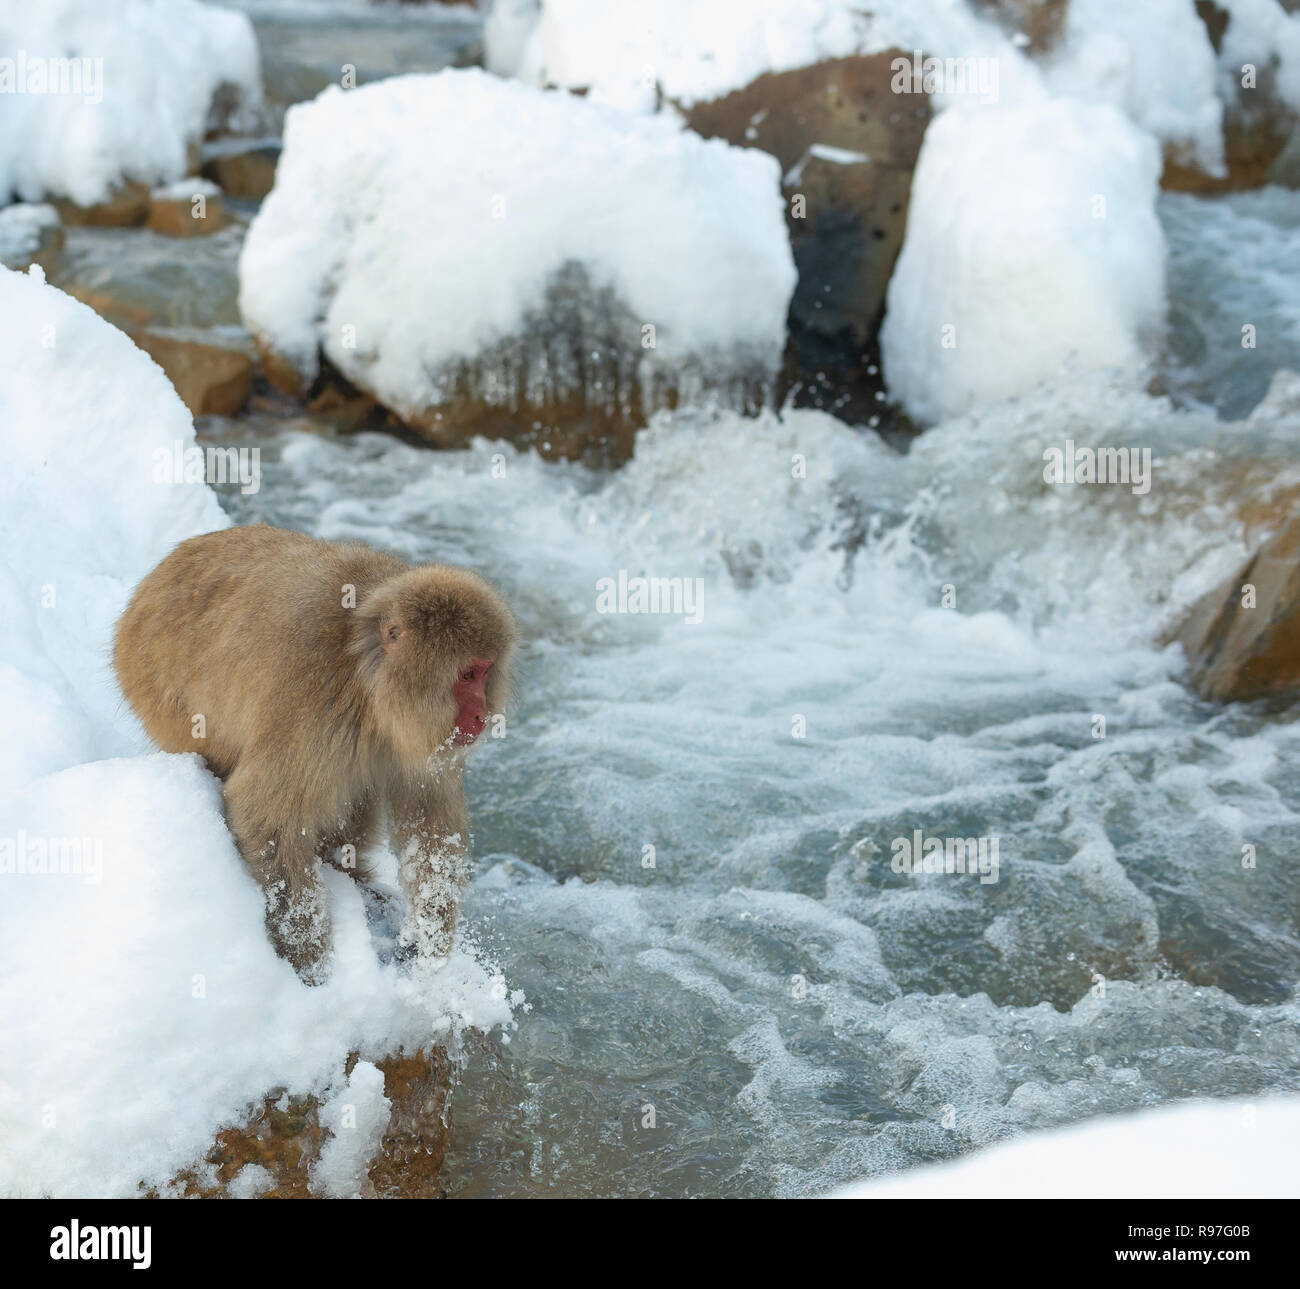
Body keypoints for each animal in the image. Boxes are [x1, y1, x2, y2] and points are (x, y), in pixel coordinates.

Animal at [113, 523, 515, 983]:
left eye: (485, 671)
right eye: (466, 675)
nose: (482, 715)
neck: (369, 681)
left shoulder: (419, 733)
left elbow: (428, 815)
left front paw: (430, 945)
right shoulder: (313, 698)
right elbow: (265, 814)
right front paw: (308, 965)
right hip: (157, 695)